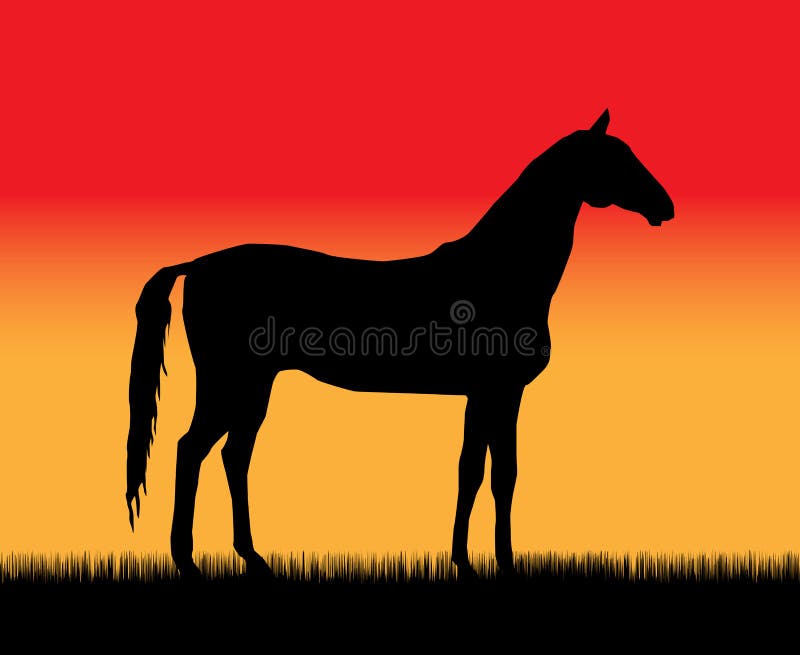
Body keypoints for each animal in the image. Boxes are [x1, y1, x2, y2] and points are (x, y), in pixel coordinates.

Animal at [126, 109, 674, 578]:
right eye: (616, 158)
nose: (665, 207)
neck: (501, 272)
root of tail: (198, 263)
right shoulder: (493, 391)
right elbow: (481, 473)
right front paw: (477, 564)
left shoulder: (496, 395)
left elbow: (494, 473)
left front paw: (492, 562)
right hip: (228, 382)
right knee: (191, 449)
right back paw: (187, 562)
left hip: (255, 386)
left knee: (233, 455)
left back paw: (253, 558)